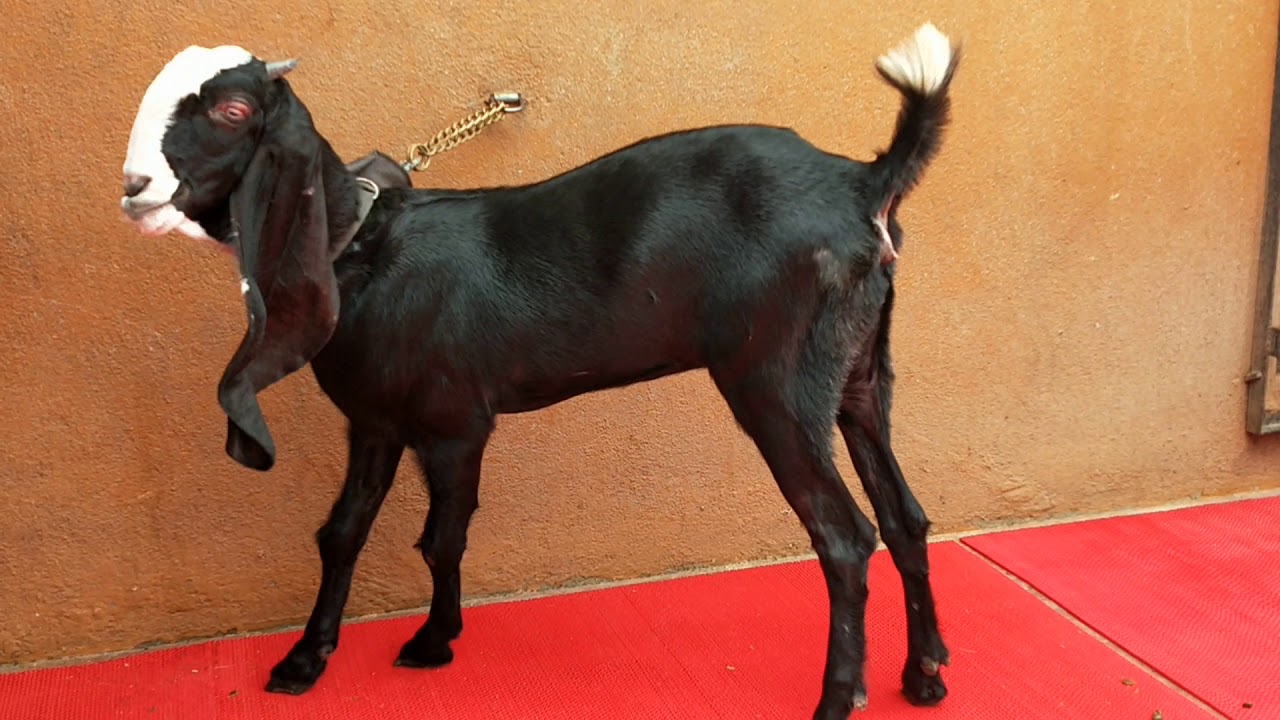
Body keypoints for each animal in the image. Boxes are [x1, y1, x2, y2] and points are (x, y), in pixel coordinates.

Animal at [119, 23, 960, 719]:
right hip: (860, 376)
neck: (364, 246)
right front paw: (305, 661)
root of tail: (863, 183)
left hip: (776, 382)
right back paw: (923, 676)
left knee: (845, 535)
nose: (135, 186)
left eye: (232, 109)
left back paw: (838, 698)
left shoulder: (455, 421)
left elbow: (441, 536)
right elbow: (343, 532)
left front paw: (432, 643)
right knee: (905, 516)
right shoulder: (377, 422)